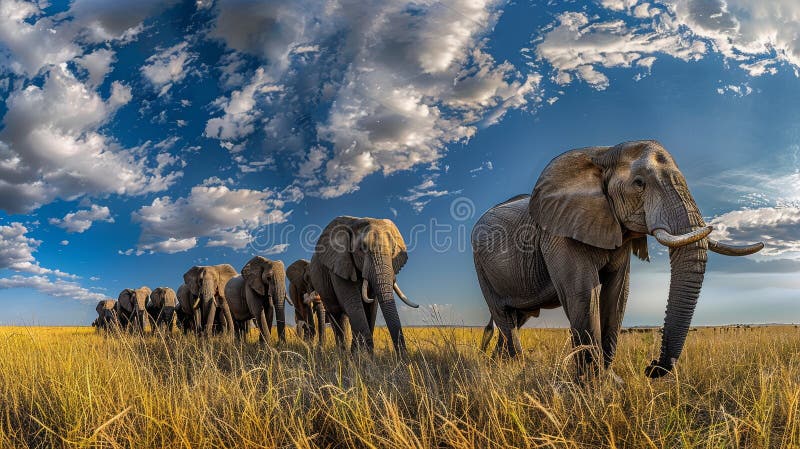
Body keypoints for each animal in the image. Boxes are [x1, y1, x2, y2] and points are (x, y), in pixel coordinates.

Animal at [309, 216, 419, 354]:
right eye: (362, 249)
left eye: (393, 250)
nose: (403, 359)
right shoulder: (339, 263)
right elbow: (353, 303)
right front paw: (365, 357)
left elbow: (372, 306)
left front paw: (362, 355)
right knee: (336, 313)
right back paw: (342, 353)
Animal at [471, 140, 764, 379]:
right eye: (639, 183)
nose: (651, 367)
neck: (604, 153)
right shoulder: (557, 232)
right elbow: (583, 294)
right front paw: (591, 387)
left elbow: (617, 294)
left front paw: (608, 381)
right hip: (480, 265)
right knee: (504, 317)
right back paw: (514, 368)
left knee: (514, 320)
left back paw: (500, 366)